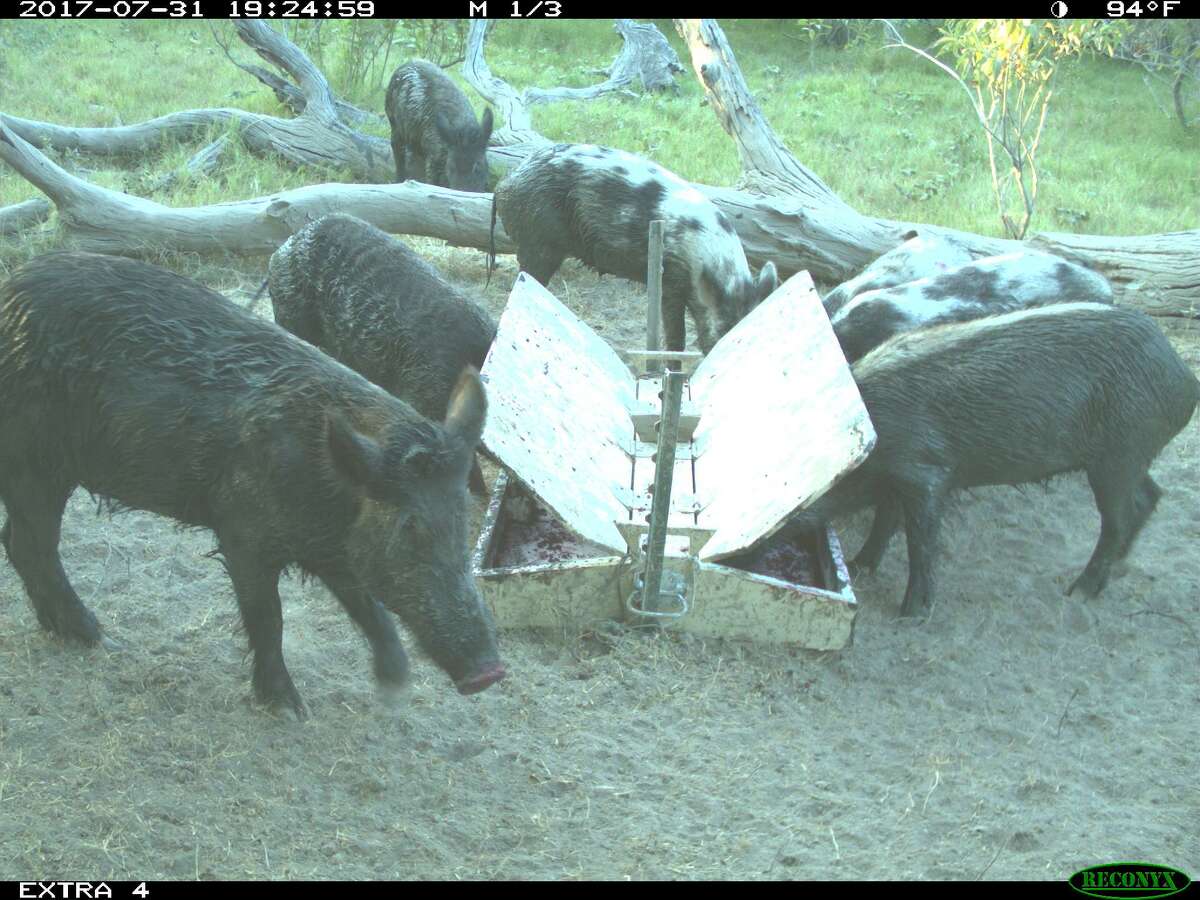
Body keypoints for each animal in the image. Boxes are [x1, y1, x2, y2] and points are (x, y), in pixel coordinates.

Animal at [0, 251, 506, 719]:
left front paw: (395, 685)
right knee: (30, 542)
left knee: (18, 539)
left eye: (462, 523)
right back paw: (98, 637)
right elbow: (268, 617)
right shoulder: (242, 531)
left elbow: (366, 604)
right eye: (409, 527)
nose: (490, 672)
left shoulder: (331, 548)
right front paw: (289, 709)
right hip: (34, 463)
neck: (329, 488)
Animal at [386, 59, 494, 192]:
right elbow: (433, 180)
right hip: (394, 122)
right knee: (397, 149)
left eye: (477, 166)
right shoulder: (434, 156)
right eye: (451, 167)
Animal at [789, 303, 1199, 618]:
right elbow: (885, 521)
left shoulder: (927, 471)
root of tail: (1184, 377)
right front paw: (860, 567)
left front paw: (911, 615)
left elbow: (921, 540)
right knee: (1149, 496)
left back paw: (1078, 592)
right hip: (1128, 458)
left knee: (1119, 517)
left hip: (1119, 453)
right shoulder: (896, 478)